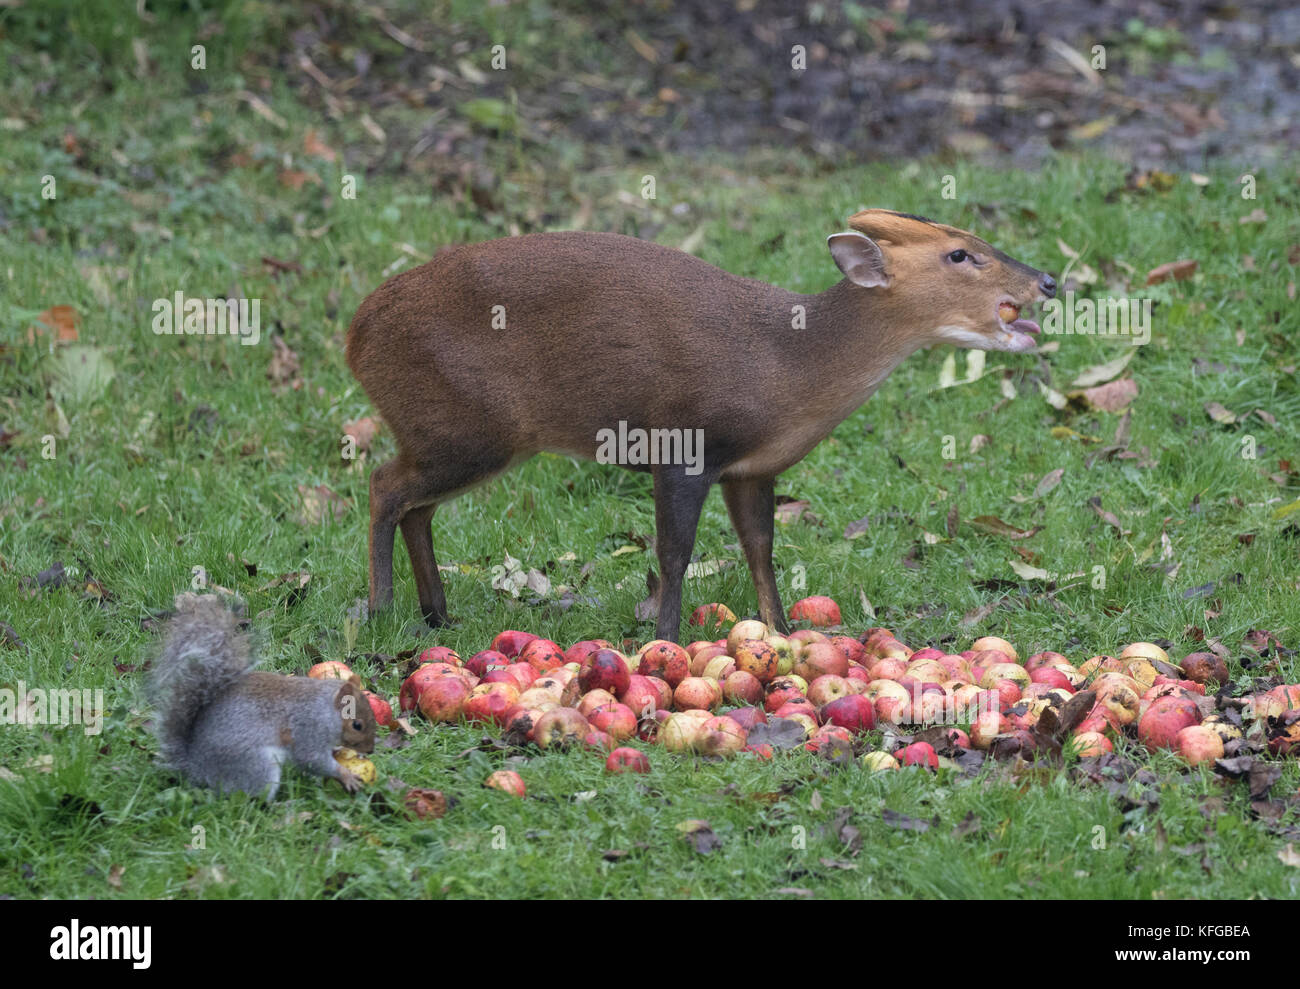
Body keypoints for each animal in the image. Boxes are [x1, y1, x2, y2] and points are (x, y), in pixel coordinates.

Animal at [150, 592, 376, 798]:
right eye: (357, 725)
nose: (371, 750)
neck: (325, 710)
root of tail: (196, 767)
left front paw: (337, 752)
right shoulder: (307, 729)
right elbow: (311, 759)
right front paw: (346, 775)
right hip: (256, 765)